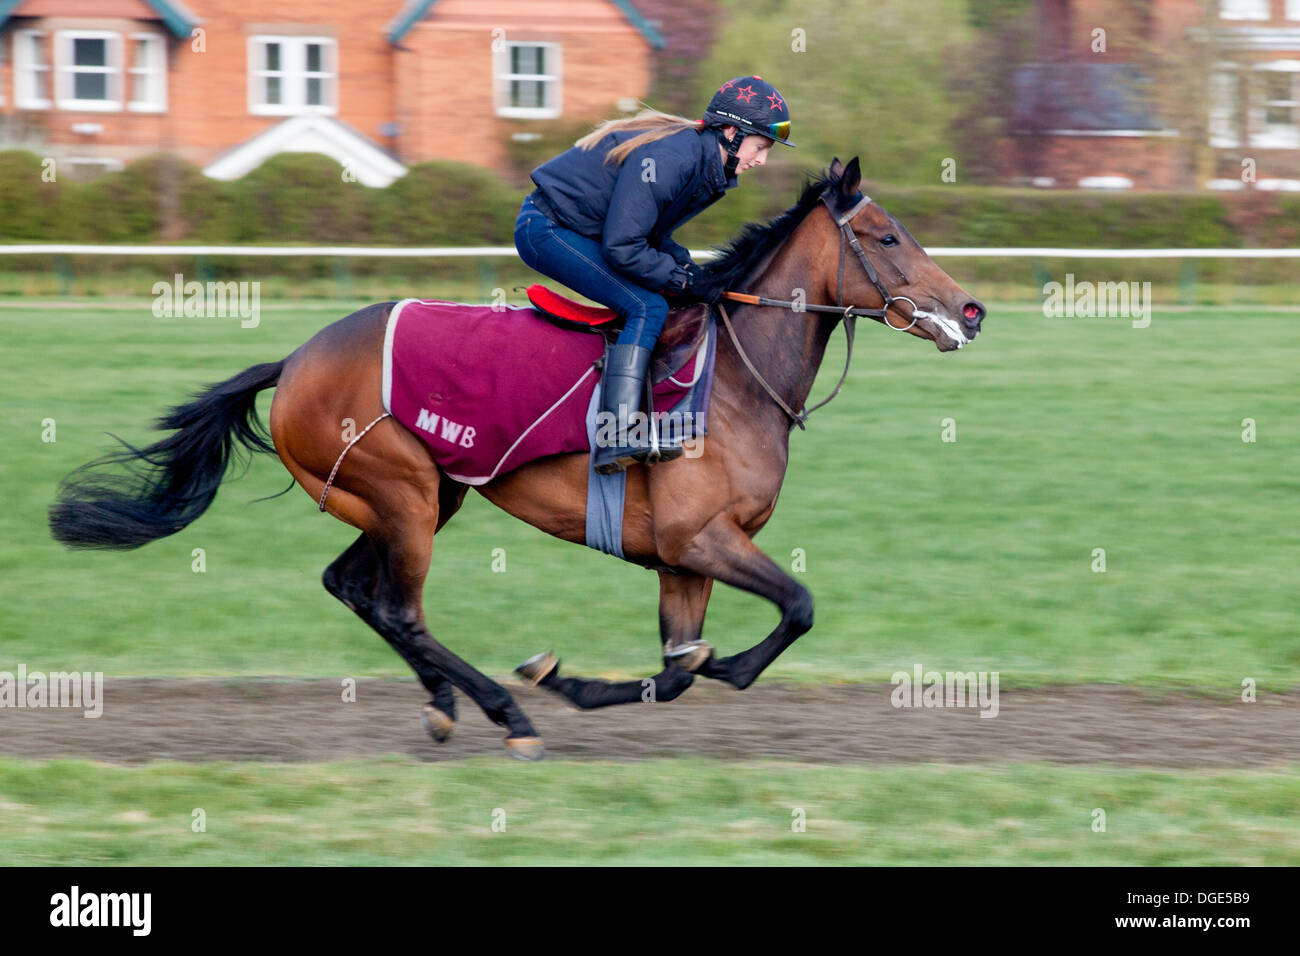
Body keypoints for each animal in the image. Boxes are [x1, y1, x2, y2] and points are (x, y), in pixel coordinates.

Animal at [49, 157, 985, 760]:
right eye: (888, 237)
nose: (971, 309)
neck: (730, 377)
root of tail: (297, 359)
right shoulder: (698, 539)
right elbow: (793, 611)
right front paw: (564, 681)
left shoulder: (682, 560)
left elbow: (681, 668)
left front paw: (583, 680)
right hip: (403, 494)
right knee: (401, 609)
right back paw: (506, 715)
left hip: (417, 496)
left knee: (351, 587)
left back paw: (445, 705)